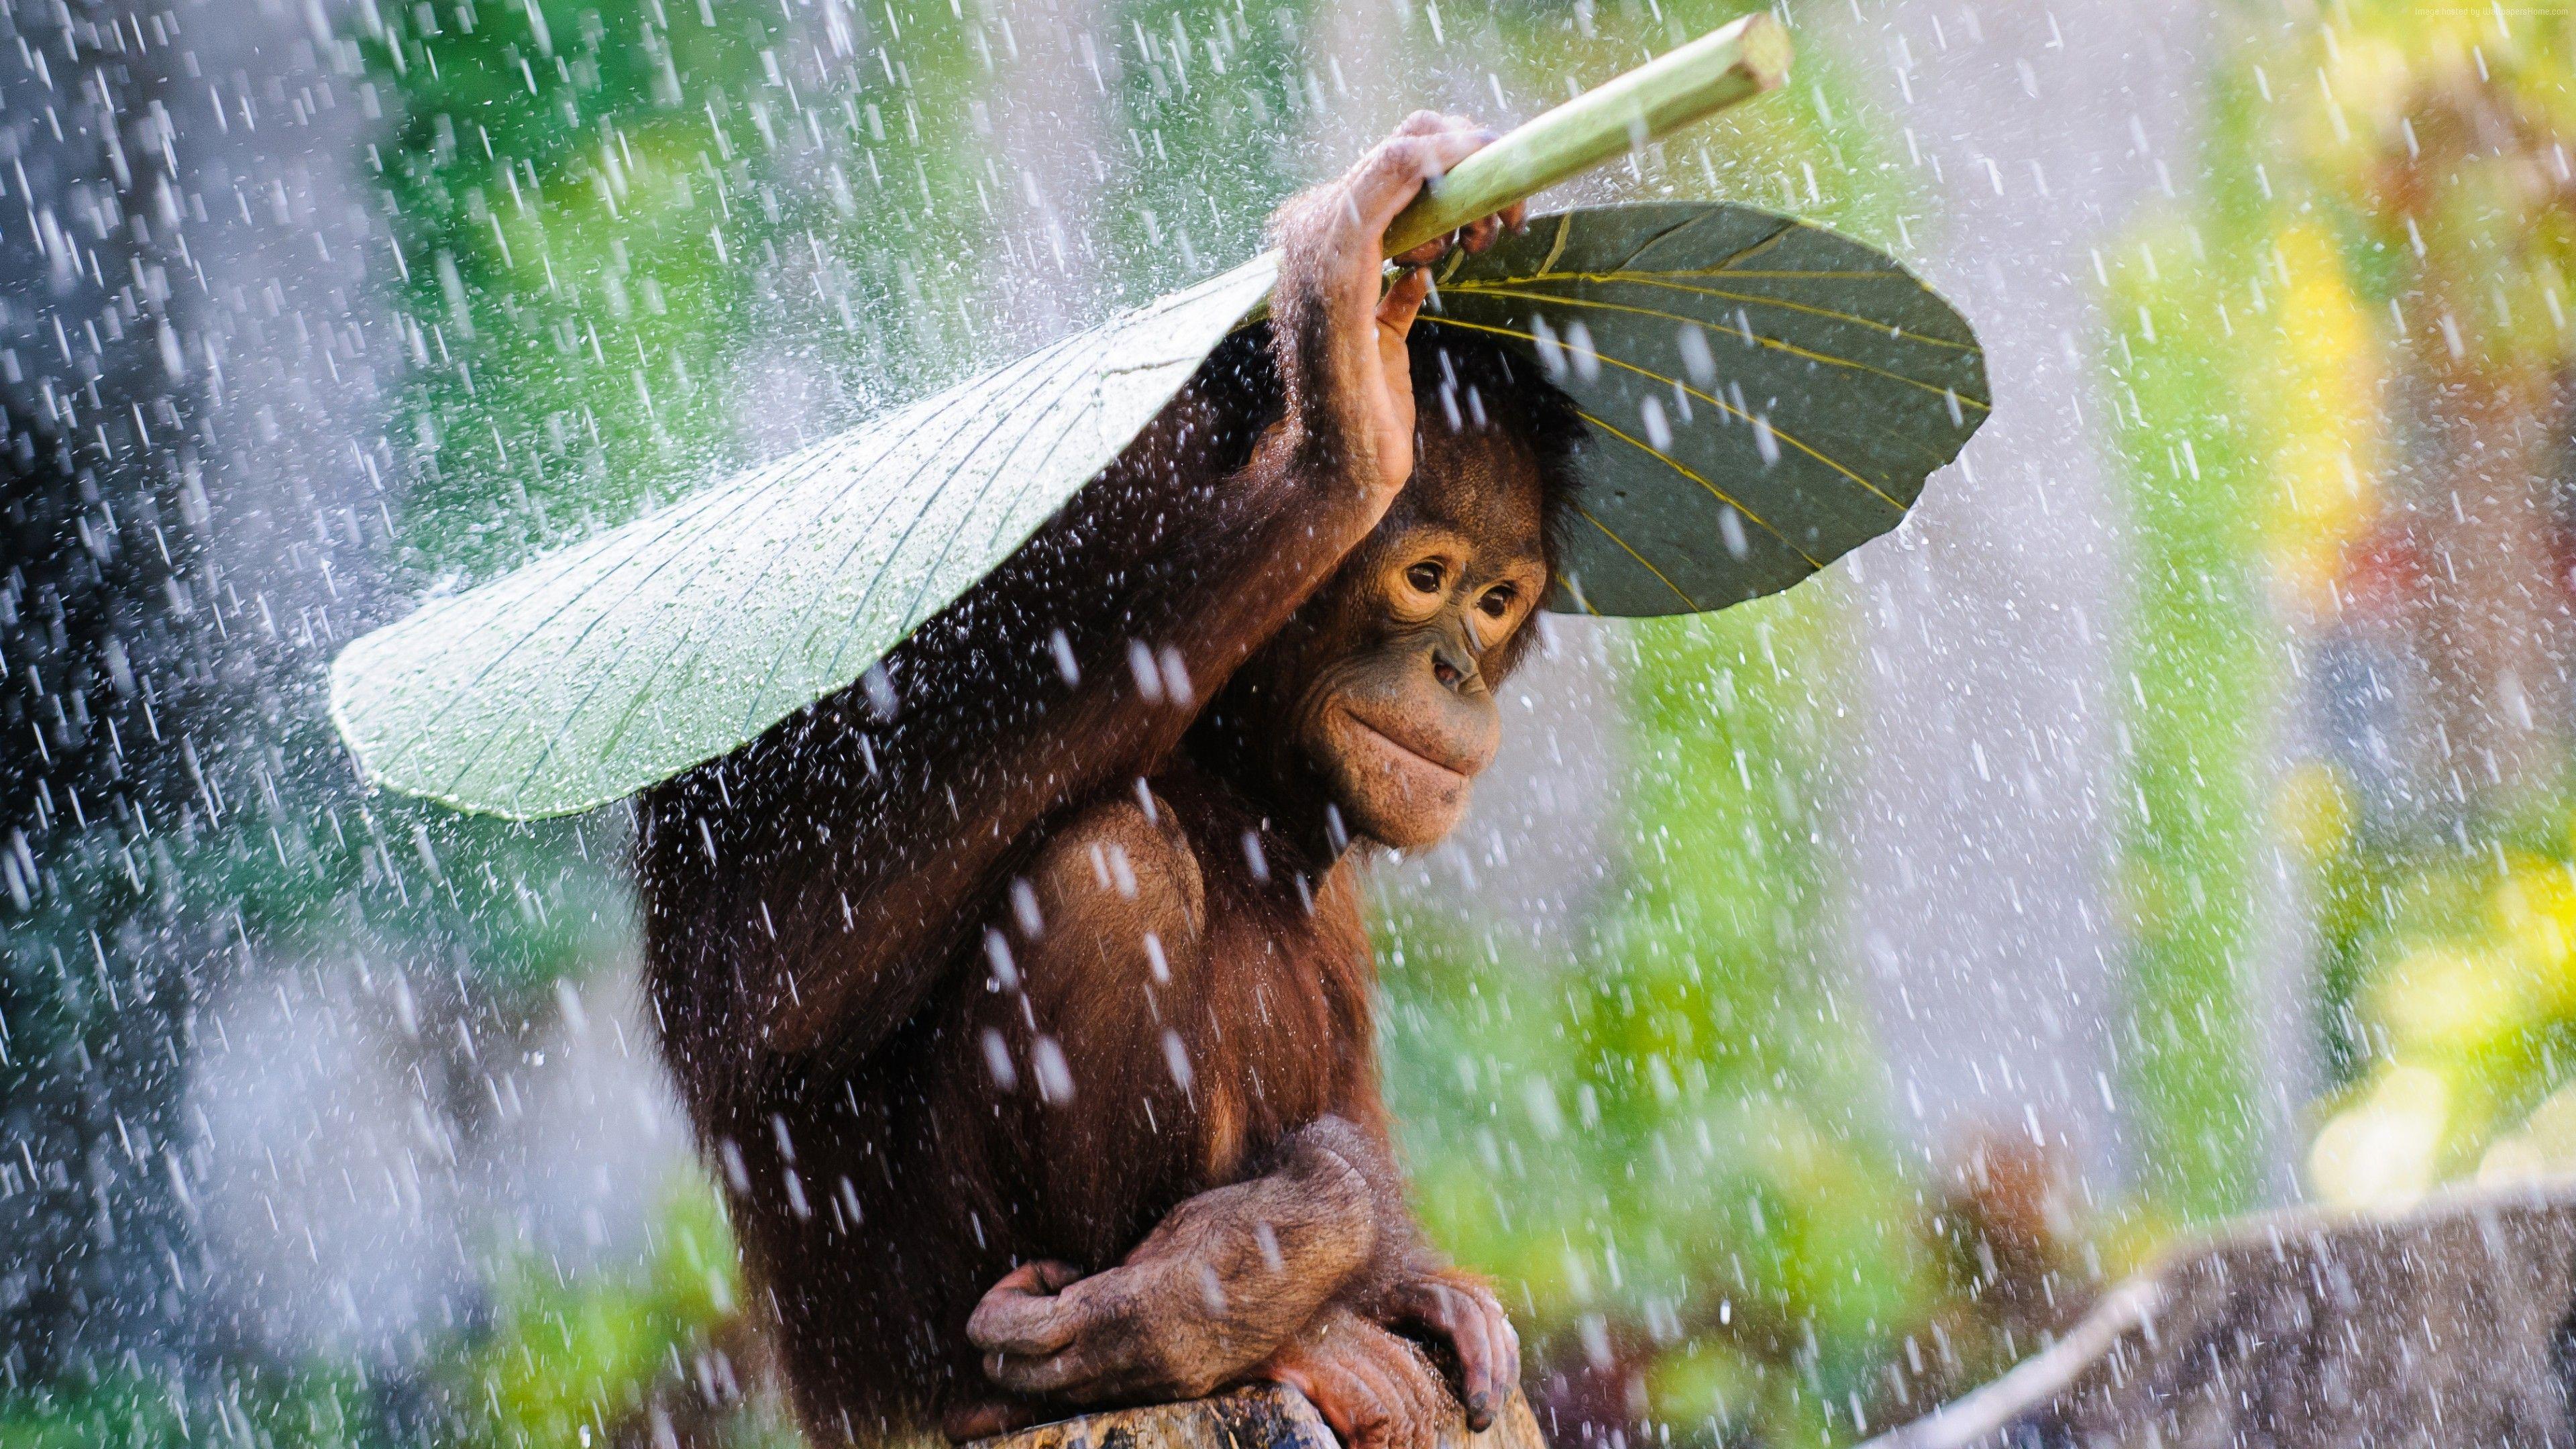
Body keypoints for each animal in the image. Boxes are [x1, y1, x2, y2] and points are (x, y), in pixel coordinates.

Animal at [636, 113, 1588, 1449]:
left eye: (1499, 599)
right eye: (1425, 576)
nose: (1456, 665)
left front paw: (1392, 1271)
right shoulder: (1045, 522)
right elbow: (755, 980)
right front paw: (1342, 410)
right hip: (923, 1342)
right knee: (1106, 864)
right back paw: (1220, 1332)